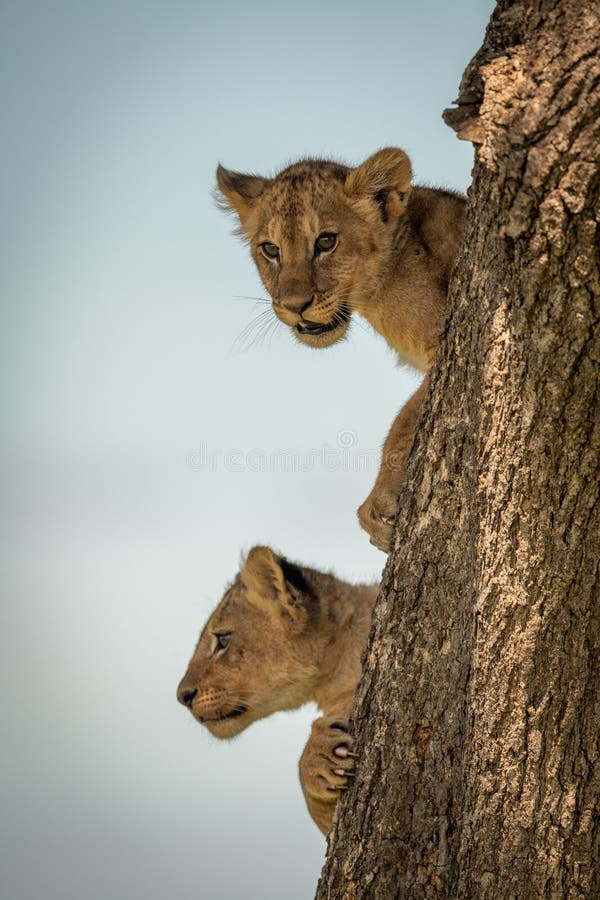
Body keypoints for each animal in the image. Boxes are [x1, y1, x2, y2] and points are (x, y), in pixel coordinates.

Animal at [216, 149, 466, 551]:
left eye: (326, 242)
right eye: (271, 249)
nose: (295, 305)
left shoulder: (443, 340)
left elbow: (403, 420)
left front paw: (376, 506)